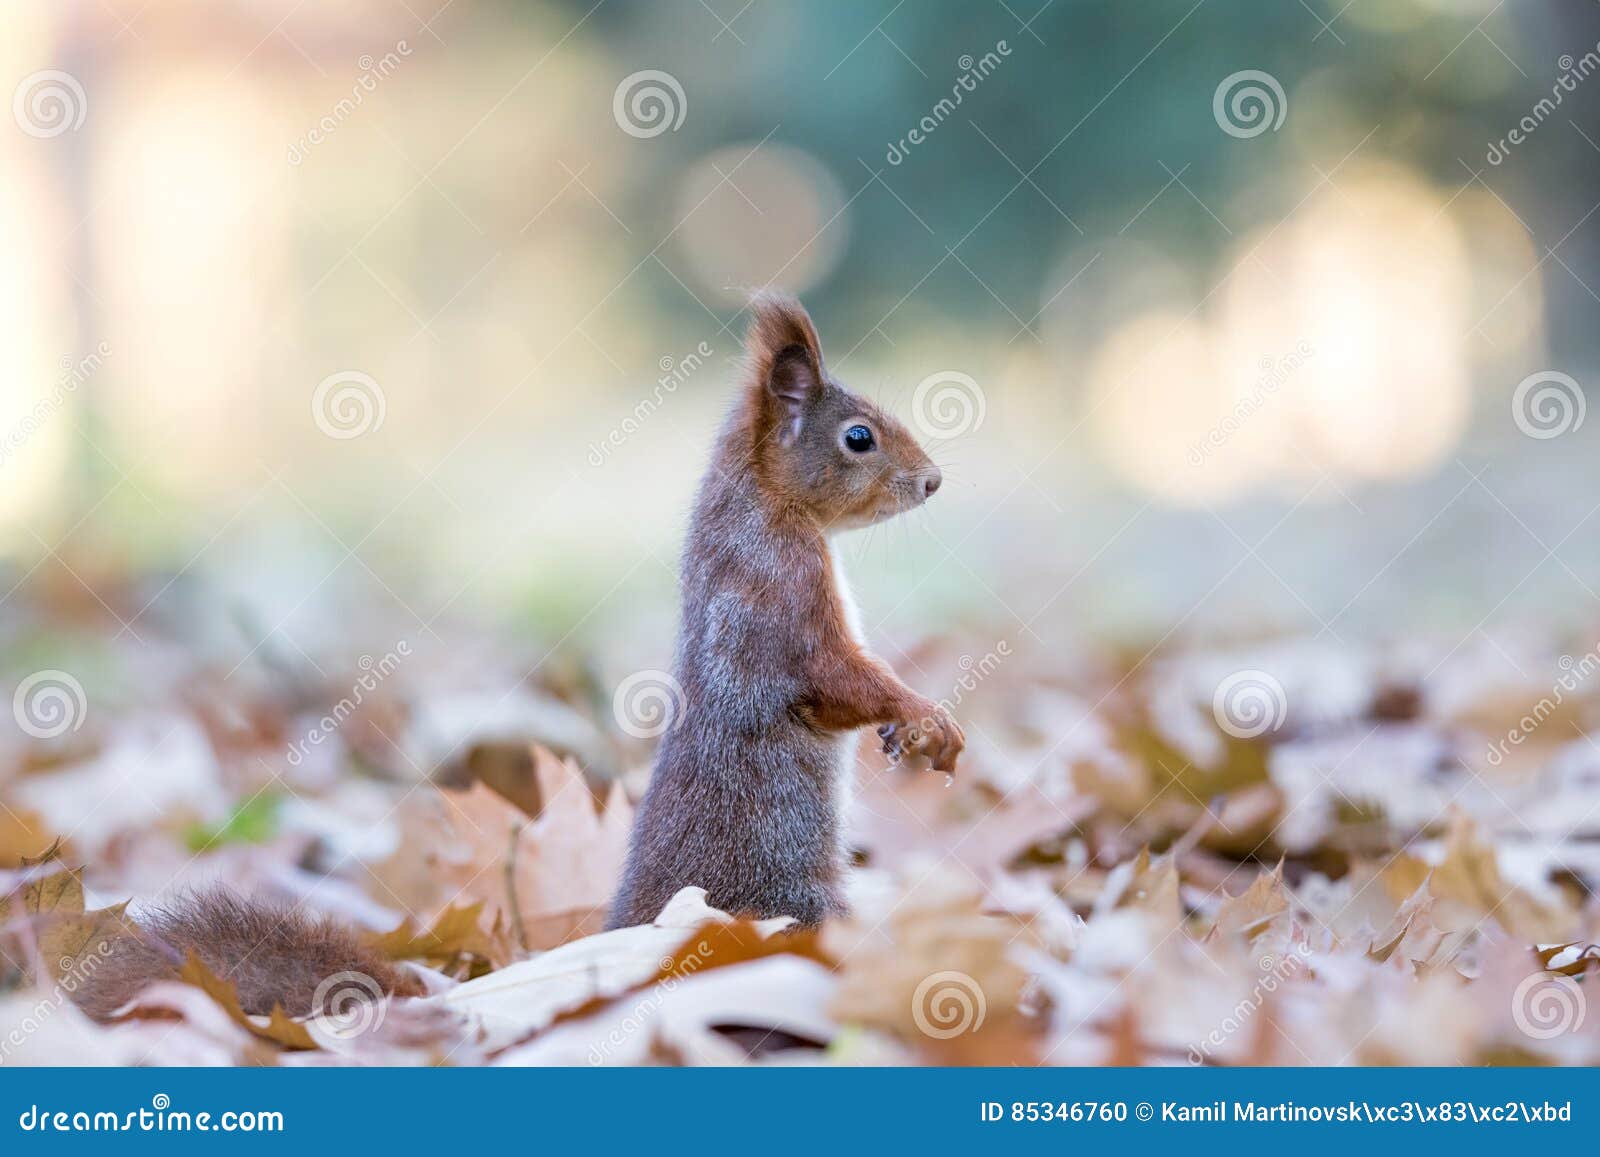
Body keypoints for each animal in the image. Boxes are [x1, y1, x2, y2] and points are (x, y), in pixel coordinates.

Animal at [607, 293, 964, 930]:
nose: (933, 481)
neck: (768, 501)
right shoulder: (783, 588)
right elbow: (835, 673)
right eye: (858, 437)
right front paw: (924, 714)